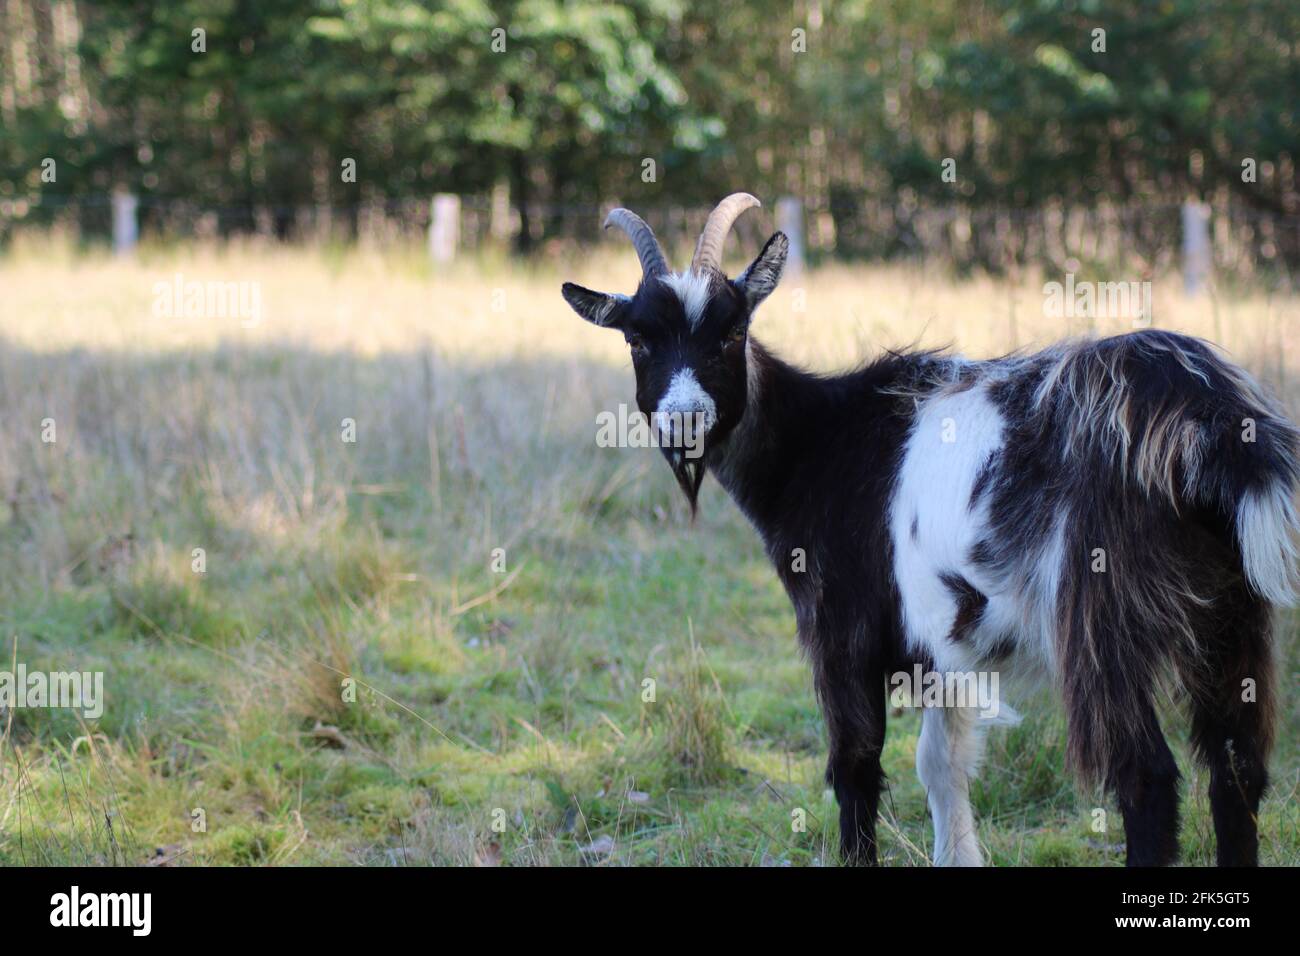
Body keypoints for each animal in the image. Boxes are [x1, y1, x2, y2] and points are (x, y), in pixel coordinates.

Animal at [562, 193, 1300, 866]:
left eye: (731, 331)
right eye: (636, 338)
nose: (684, 419)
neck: (815, 443)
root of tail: (1204, 413)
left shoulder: (842, 633)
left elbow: (855, 767)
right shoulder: (944, 650)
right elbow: (941, 765)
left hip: (1102, 615)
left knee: (1147, 779)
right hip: (1232, 612)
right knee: (1236, 767)